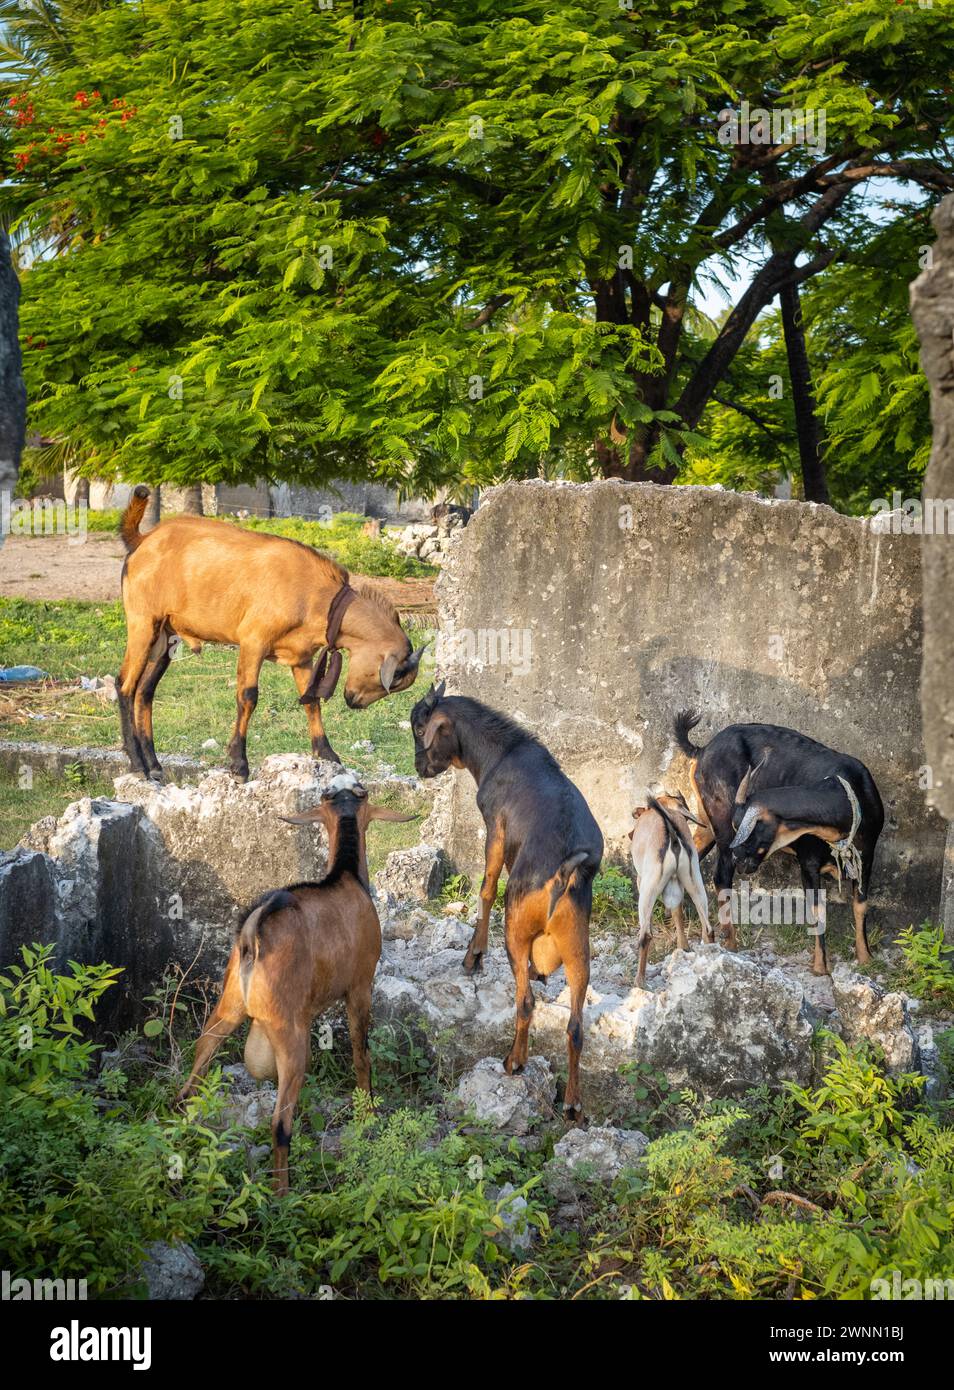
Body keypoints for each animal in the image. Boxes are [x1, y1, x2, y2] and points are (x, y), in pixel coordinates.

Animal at [117, 487, 426, 781]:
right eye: (394, 676)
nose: (354, 700)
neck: (319, 596)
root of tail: (144, 541)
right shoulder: (253, 641)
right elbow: (248, 696)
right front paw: (239, 764)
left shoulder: (302, 656)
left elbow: (311, 700)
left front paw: (327, 754)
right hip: (143, 622)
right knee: (125, 686)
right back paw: (137, 764)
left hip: (166, 635)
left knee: (145, 691)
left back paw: (154, 765)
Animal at [177, 772, 415, 1194]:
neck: (346, 877)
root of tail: (254, 930)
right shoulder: (360, 986)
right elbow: (361, 1053)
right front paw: (367, 1112)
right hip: (291, 1034)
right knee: (279, 1124)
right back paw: (283, 1194)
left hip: (229, 1007)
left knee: (193, 1076)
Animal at [410, 683, 602, 1121]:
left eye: (420, 729)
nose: (420, 767)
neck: (504, 752)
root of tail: (565, 871)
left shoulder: (494, 827)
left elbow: (486, 887)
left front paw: (473, 956)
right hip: (578, 947)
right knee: (575, 1027)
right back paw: (572, 1102)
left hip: (514, 926)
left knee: (525, 1002)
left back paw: (514, 1062)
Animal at [629, 792, 713, 987]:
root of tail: (671, 830)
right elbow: (678, 913)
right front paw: (684, 947)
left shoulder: (641, 880)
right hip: (695, 882)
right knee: (708, 928)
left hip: (648, 889)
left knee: (646, 935)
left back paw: (639, 980)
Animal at [673, 711, 884, 975]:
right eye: (738, 826)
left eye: (753, 829)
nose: (740, 860)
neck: (850, 795)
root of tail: (701, 751)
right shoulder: (808, 862)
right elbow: (817, 910)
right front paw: (820, 967)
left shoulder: (866, 859)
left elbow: (860, 905)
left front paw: (866, 958)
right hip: (719, 824)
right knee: (720, 877)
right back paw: (731, 945)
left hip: (708, 823)